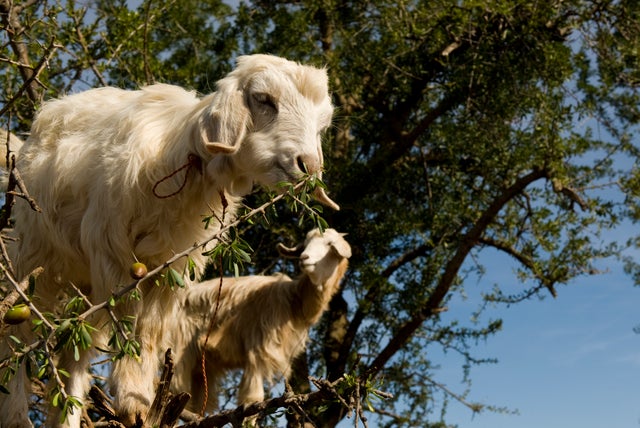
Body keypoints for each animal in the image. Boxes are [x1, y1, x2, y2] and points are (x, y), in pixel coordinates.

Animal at [170, 228, 351, 417]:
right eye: (306, 244)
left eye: (330, 244)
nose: (304, 258)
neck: (293, 301)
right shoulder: (257, 349)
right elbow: (253, 399)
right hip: (181, 350)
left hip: (201, 368)